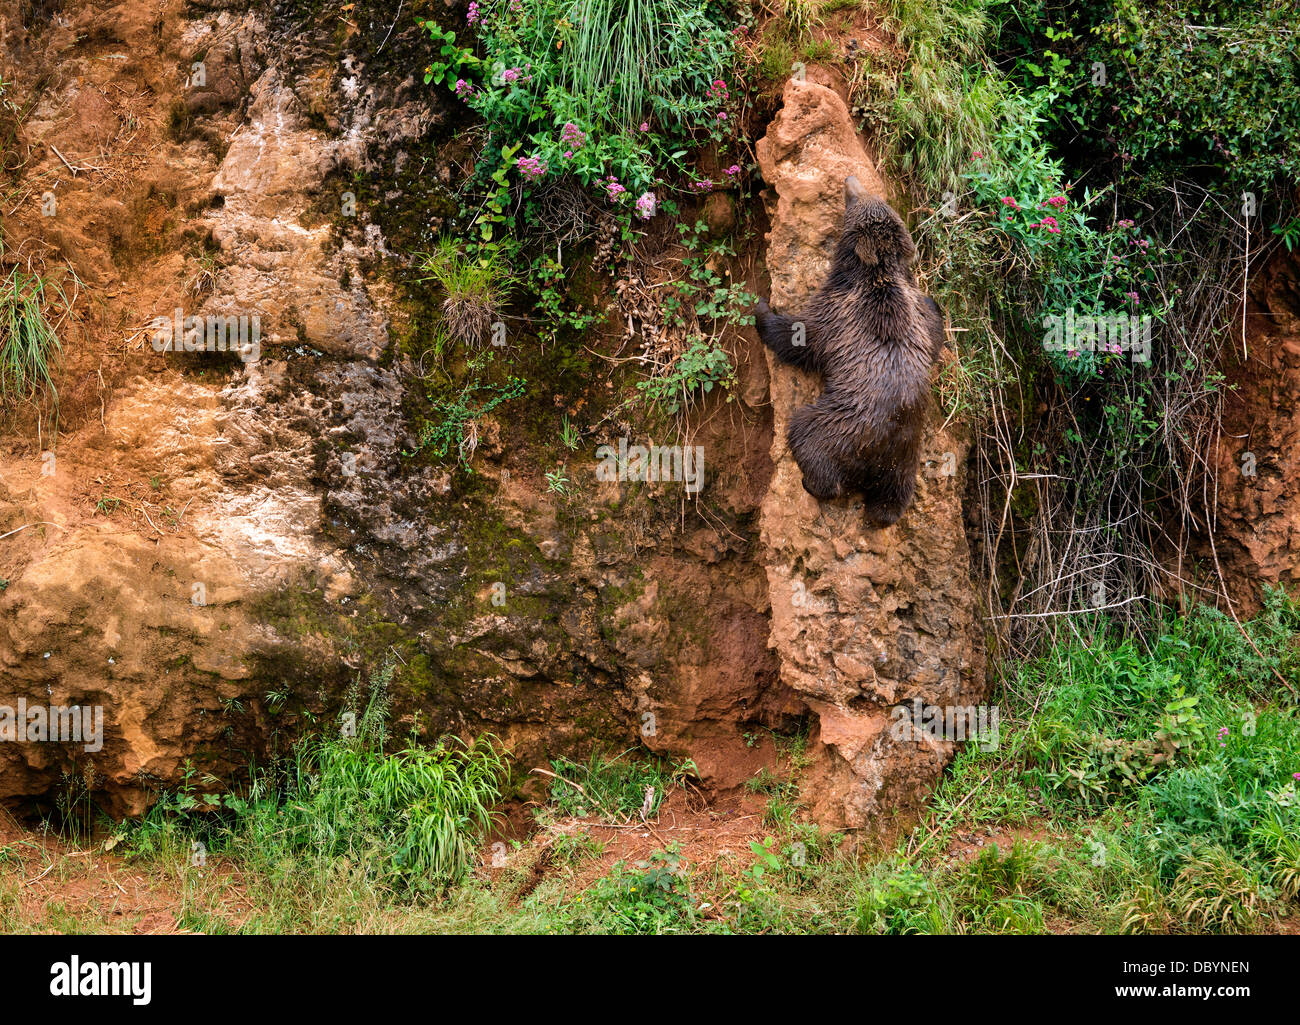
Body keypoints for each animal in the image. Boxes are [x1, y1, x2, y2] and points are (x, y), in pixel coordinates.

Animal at [755, 174, 946, 526]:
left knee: (807, 438)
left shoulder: (836, 314)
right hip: (907, 457)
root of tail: (877, 462)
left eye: (856, 200)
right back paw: (885, 511)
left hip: (839, 425)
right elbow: (934, 323)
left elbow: (798, 337)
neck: (876, 276)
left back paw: (813, 483)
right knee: (894, 497)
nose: (850, 179)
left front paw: (760, 308)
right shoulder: (920, 317)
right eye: (875, 196)